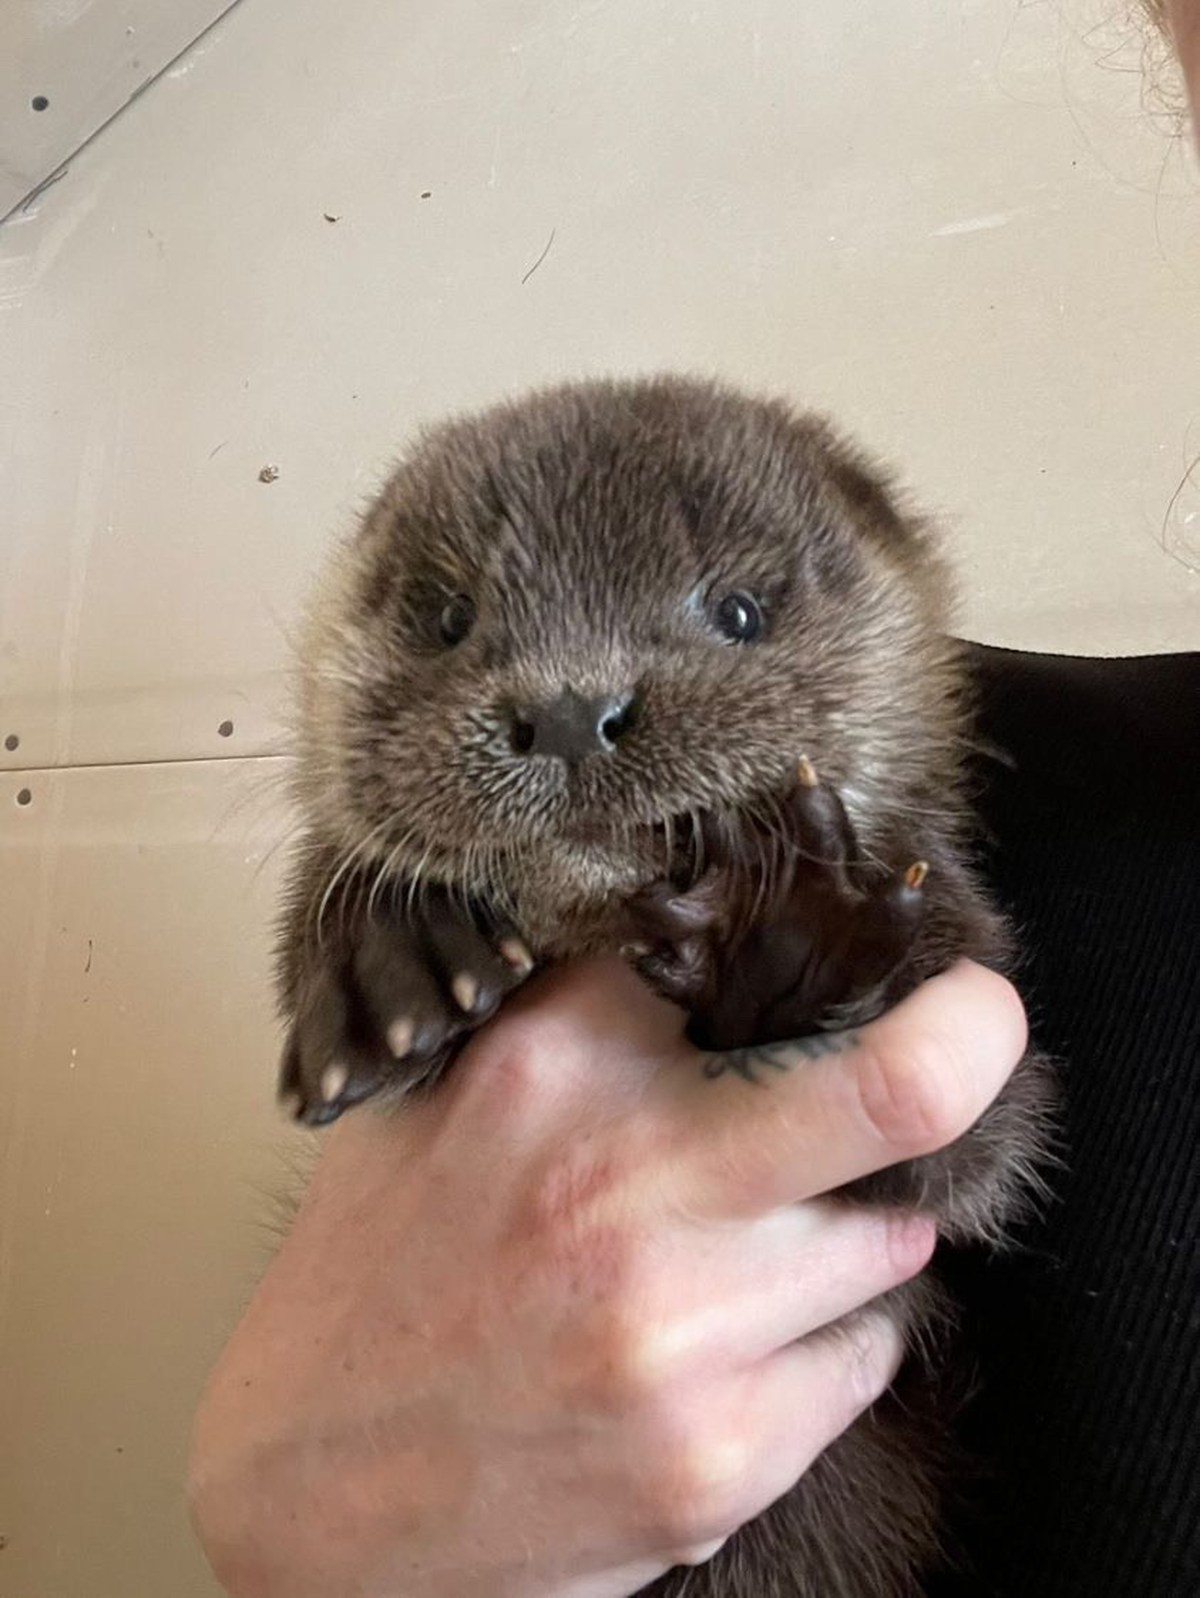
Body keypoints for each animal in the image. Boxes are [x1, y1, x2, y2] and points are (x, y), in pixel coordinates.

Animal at [274, 374, 1053, 1598]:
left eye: (735, 611)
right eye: (450, 617)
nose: (567, 711)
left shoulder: (961, 945)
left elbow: (979, 1149)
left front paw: (788, 934)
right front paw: (388, 958)